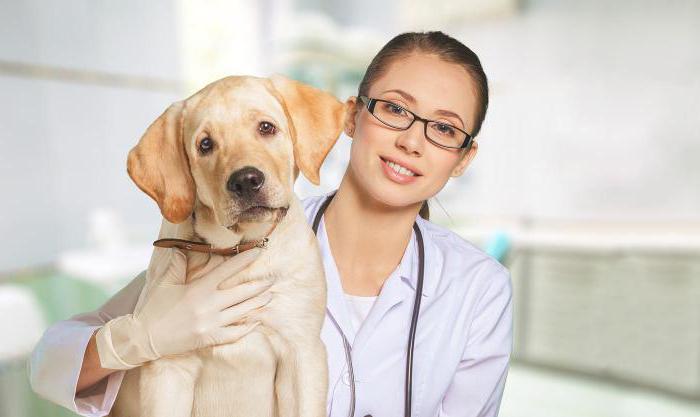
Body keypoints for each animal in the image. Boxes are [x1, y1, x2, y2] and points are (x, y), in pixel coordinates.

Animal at [109, 75, 348, 416]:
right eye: (205, 145)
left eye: (266, 127)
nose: (246, 180)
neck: (236, 249)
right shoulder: (168, 367)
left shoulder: (301, 352)